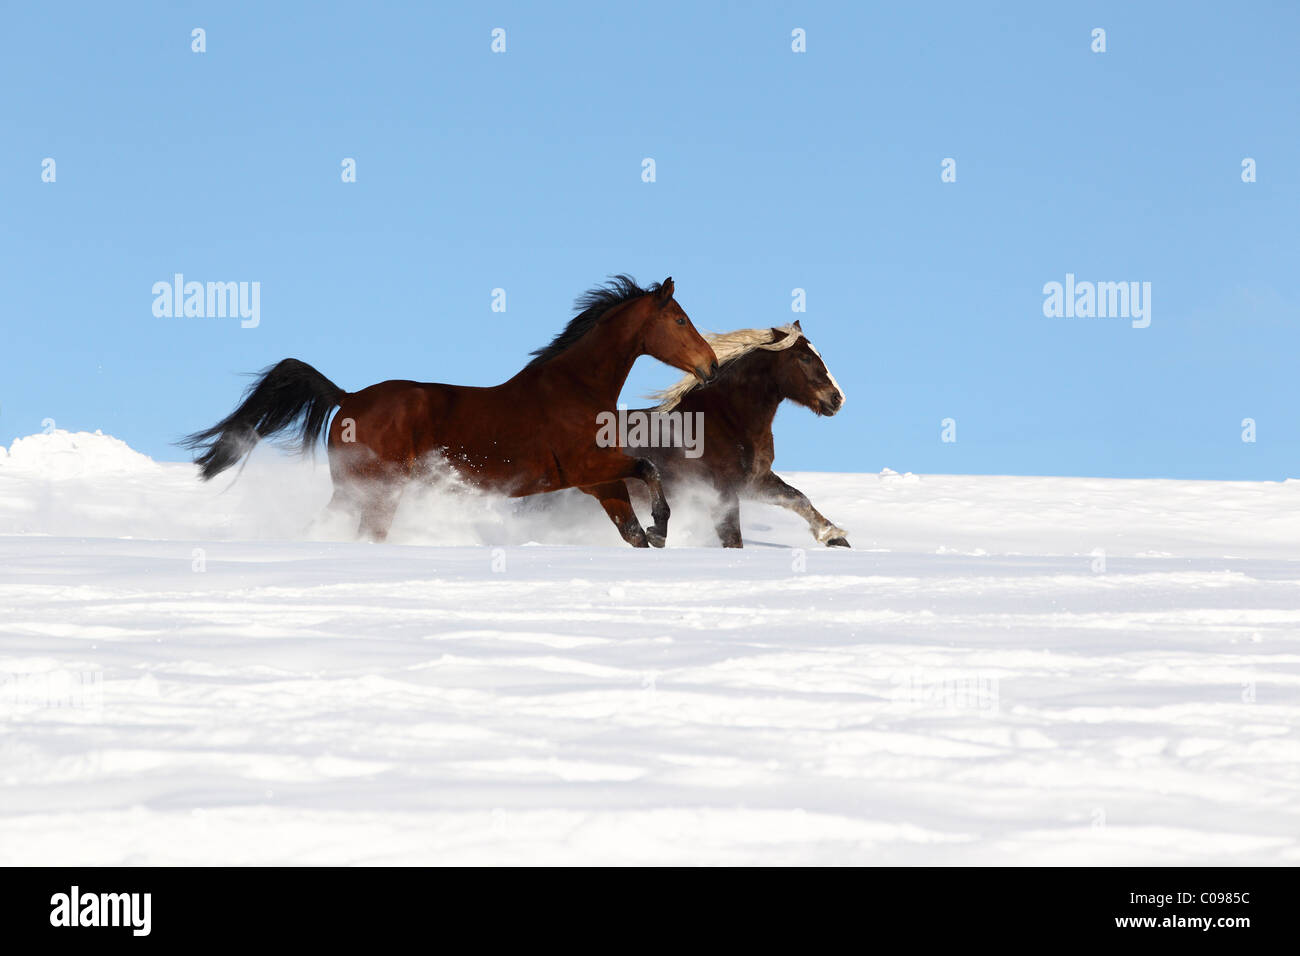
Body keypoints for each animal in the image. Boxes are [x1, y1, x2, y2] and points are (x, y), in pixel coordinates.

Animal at [183, 276, 719, 547]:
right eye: (679, 319)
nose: (711, 366)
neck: (578, 389)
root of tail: (347, 397)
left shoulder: (598, 482)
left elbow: (631, 531)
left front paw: (654, 533)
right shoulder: (588, 467)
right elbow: (648, 468)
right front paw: (662, 525)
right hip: (377, 489)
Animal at [579, 320, 849, 548]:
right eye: (804, 357)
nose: (837, 399)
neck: (726, 418)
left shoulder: (755, 482)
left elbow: (797, 498)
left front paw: (834, 536)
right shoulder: (721, 492)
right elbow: (733, 537)